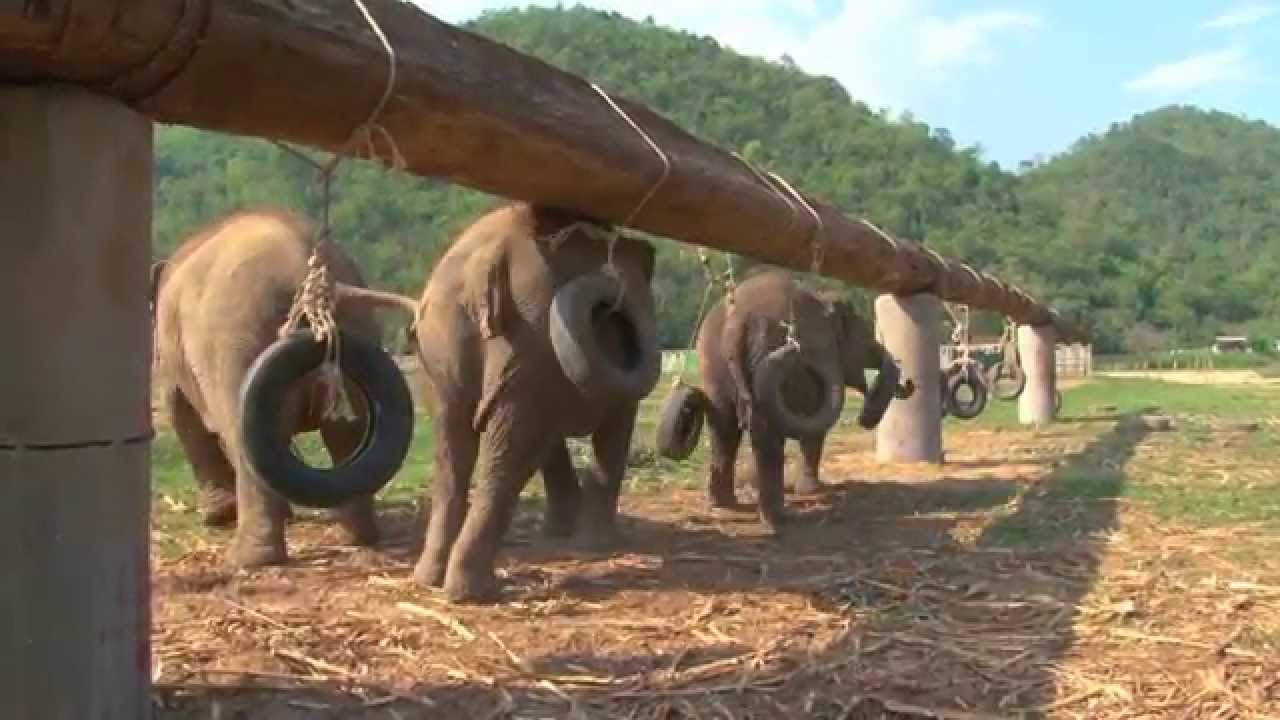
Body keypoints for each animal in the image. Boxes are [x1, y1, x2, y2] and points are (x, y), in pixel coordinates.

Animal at [151, 208, 419, 569]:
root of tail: (299, 262)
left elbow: (182, 413)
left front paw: (218, 518)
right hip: (356, 324)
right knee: (348, 434)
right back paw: (358, 538)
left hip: (233, 345)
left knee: (242, 435)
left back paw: (248, 559)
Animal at [409, 201, 661, 603]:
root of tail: (489, 259)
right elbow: (614, 427)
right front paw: (596, 546)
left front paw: (567, 535)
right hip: (531, 330)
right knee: (513, 443)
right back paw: (473, 591)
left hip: (446, 343)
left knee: (454, 445)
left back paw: (432, 580)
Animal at [689, 268, 912, 534]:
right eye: (866, 338)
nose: (909, 383)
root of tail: (736, 324)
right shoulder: (820, 356)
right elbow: (816, 423)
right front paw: (812, 491)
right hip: (775, 357)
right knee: (764, 432)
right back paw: (777, 520)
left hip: (711, 363)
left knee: (724, 428)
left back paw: (723, 504)